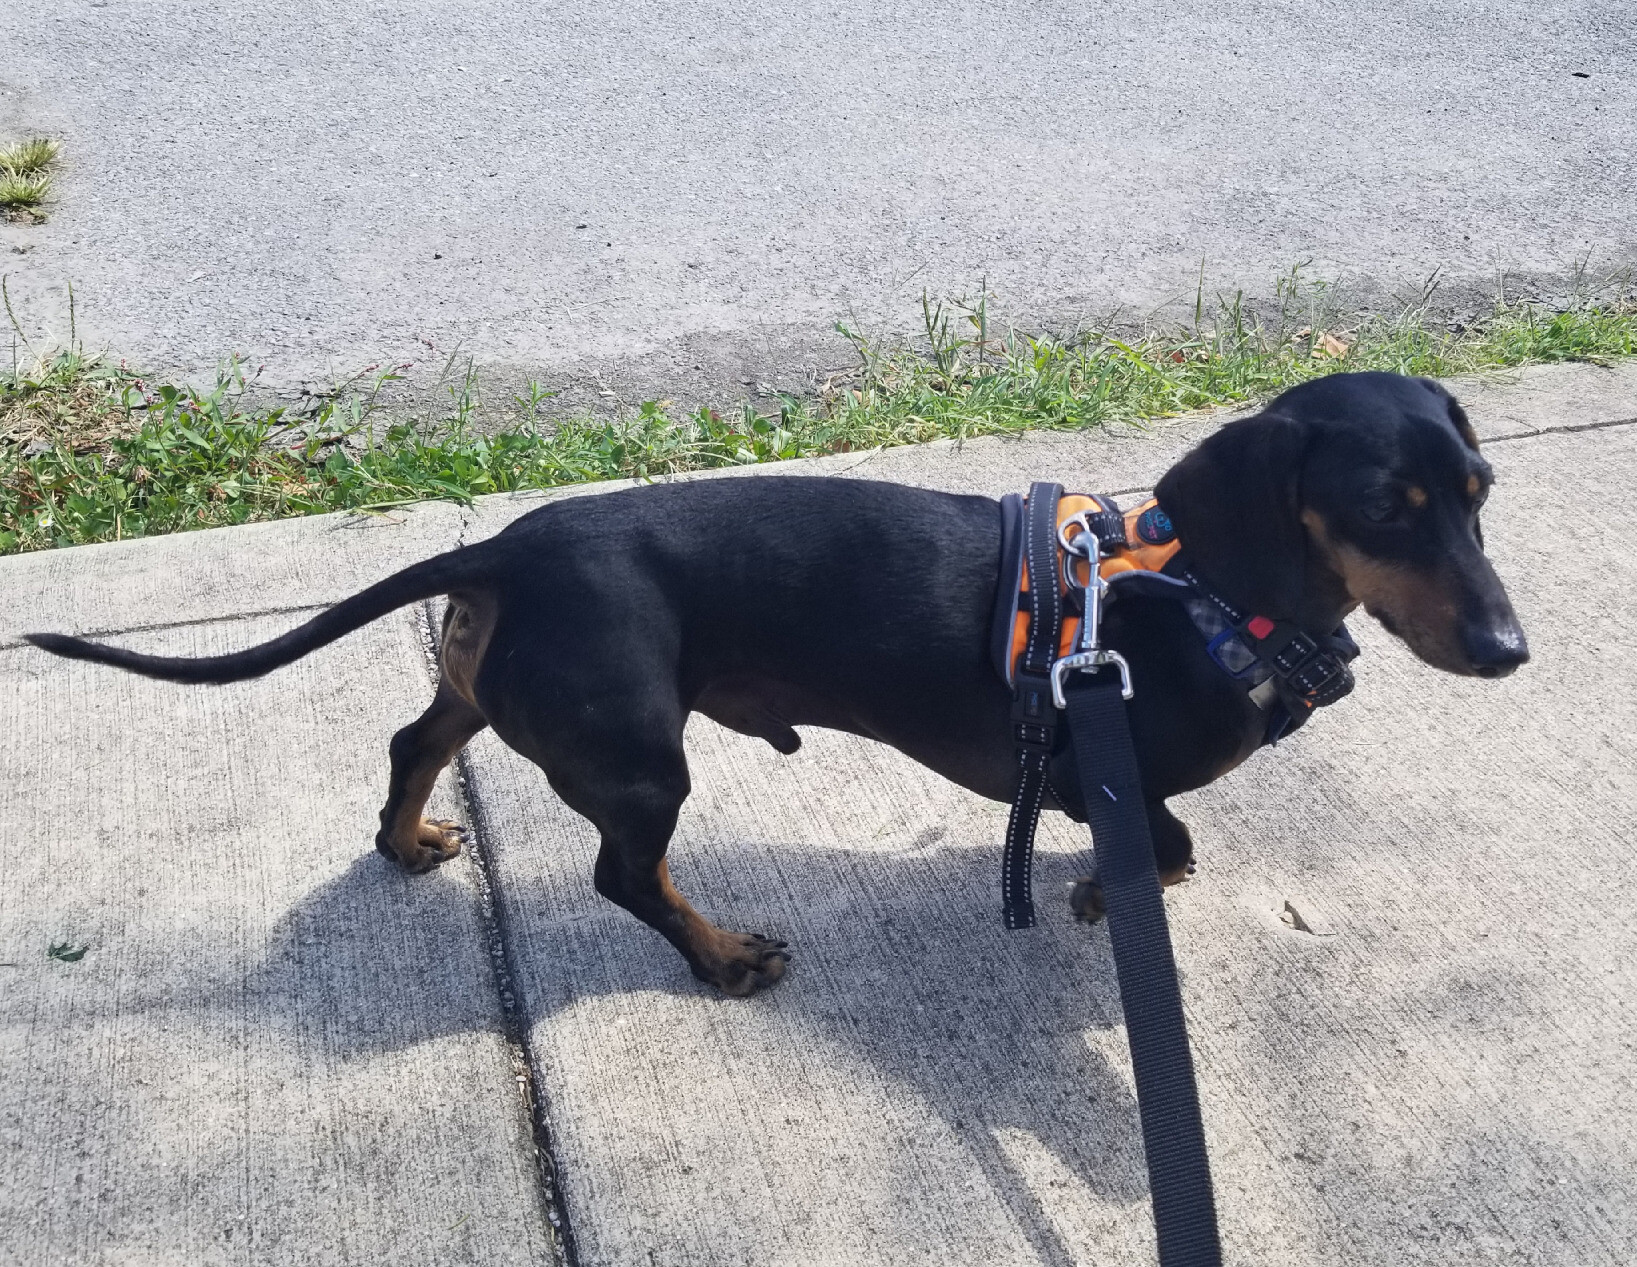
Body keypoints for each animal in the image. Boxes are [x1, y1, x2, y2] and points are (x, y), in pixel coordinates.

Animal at [31, 371, 1525, 995]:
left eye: (1475, 492)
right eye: (1383, 510)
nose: (1511, 652)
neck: (1202, 593)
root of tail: (508, 544)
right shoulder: (1105, 766)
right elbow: (1161, 842)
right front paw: (1108, 890)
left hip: (501, 686)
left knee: (414, 739)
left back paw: (407, 840)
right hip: (639, 758)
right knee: (626, 876)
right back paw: (722, 956)